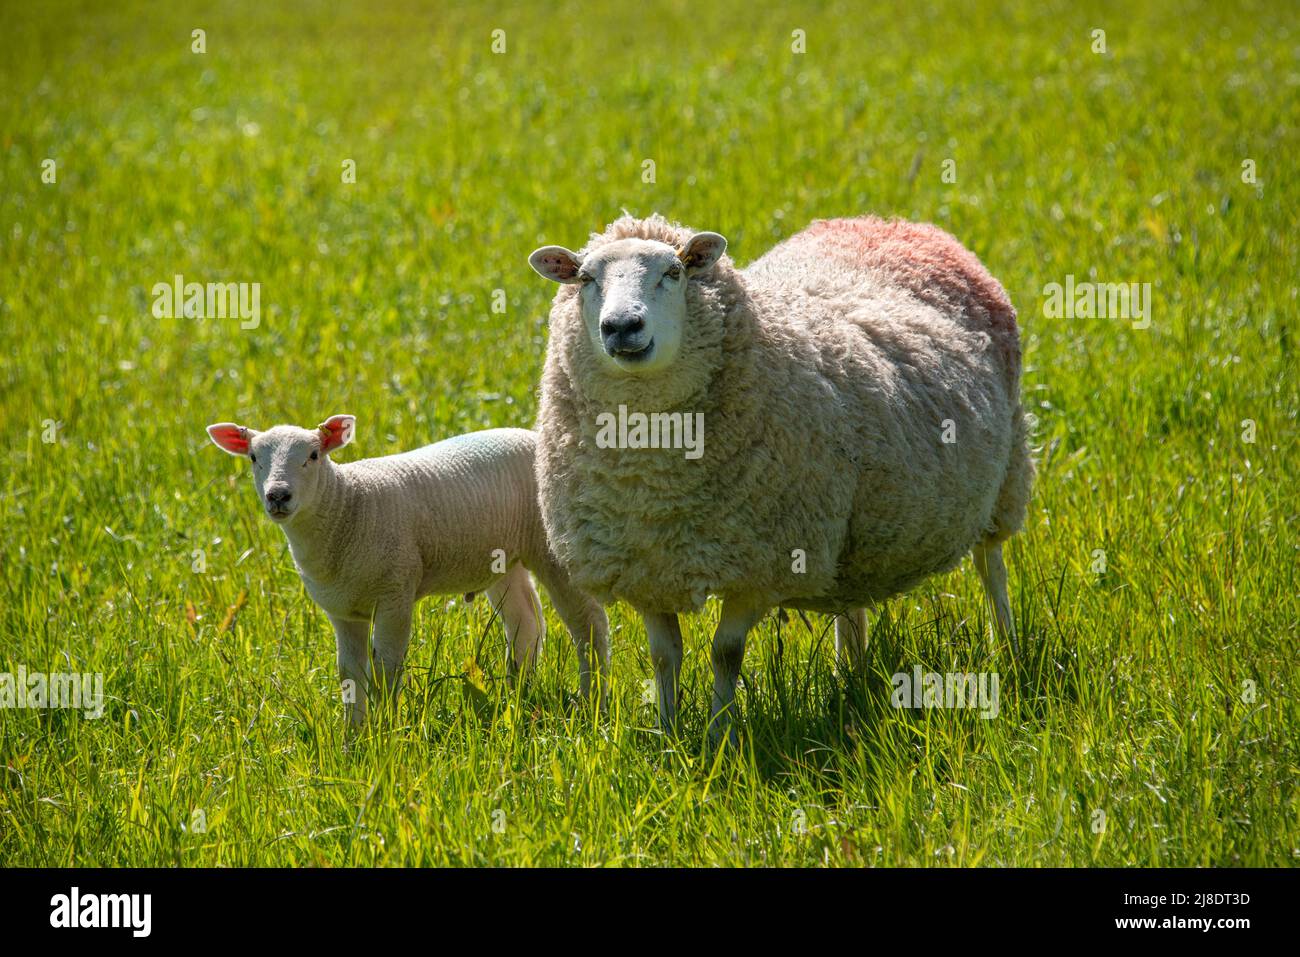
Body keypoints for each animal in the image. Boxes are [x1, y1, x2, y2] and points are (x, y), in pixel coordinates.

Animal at [205, 415, 609, 726]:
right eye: (253, 457)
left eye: (314, 455)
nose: (278, 495)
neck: (347, 507)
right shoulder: (341, 611)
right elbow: (349, 674)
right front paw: (354, 741)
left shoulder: (395, 594)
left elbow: (386, 668)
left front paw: (386, 733)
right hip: (505, 559)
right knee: (526, 625)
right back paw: (518, 697)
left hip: (553, 546)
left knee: (588, 625)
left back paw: (595, 703)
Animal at [528, 213, 1033, 741]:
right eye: (586, 278)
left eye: (674, 272)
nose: (622, 326)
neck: (651, 481)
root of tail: (891, 222)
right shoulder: (644, 567)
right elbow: (664, 656)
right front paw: (668, 734)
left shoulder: (760, 566)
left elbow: (725, 653)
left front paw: (719, 736)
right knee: (852, 604)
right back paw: (850, 674)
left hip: (1007, 474)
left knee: (992, 569)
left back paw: (1006, 651)